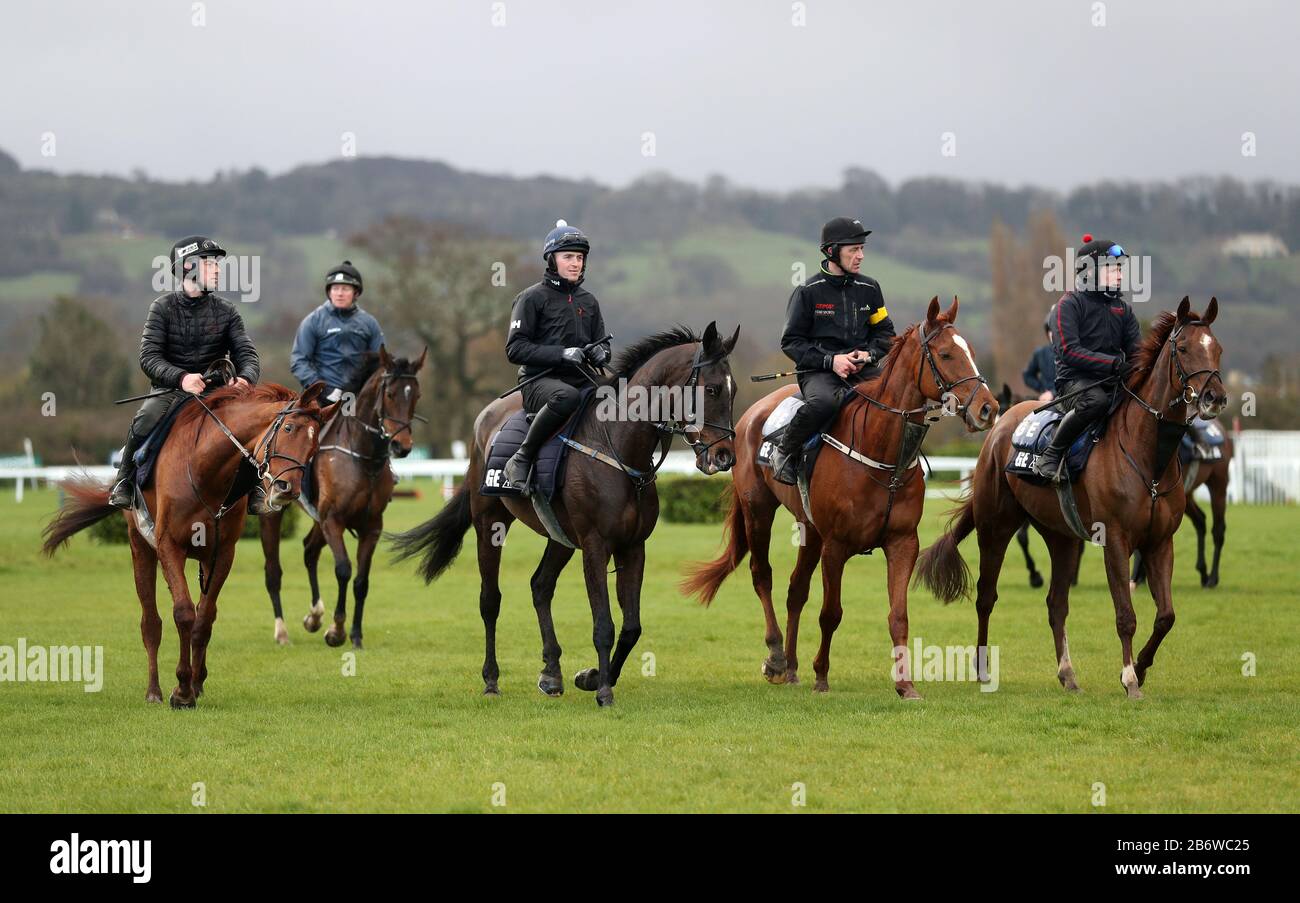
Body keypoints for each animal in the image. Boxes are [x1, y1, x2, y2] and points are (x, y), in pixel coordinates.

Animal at [42, 381, 337, 707]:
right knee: (150, 622)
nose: (287, 490)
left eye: (314, 447)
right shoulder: (169, 546)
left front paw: (195, 684)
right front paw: (181, 690)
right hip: (140, 546)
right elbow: (183, 613)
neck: (206, 470)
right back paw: (154, 691)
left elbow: (204, 618)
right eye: (287, 428)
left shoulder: (222, 553)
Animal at [260, 345, 426, 648]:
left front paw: (355, 634)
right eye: (390, 394)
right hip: (275, 513)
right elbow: (344, 570)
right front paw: (336, 630)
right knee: (273, 571)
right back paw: (282, 631)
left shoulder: (371, 527)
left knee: (309, 550)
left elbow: (361, 581)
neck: (362, 456)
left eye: (416, 395)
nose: (402, 446)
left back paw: (314, 616)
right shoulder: (333, 520)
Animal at [390, 322, 741, 706]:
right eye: (711, 388)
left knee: (540, 586)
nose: (725, 456)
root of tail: (486, 417)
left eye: (733, 389)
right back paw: (492, 679)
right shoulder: (595, 544)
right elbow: (604, 623)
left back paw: (551, 673)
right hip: (490, 523)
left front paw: (594, 676)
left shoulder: (633, 546)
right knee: (490, 600)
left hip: (559, 537)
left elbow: (631, 626)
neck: (618, 447)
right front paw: (603, 690)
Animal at [681, 297, 997, 699]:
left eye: (969, 350)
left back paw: (792, 667)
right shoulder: (836, 545)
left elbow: (898, 614)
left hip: (809, 529)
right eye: (945, 354)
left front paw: (905, 684)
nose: (988, 408)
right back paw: (776, 659)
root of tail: (753, 414)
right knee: (762, 576)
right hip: (759, 510)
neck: (882, 454)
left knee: (795, 590)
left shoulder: (902, 542)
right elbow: (831, 613)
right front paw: (821, 676)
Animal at [1132, 433, 1232, 589]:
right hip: (1186, 495)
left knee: (1218, 530)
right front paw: (1140, 576)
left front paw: (1139, 577)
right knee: (1200, 520)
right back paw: (1203, 572)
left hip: (1218, 485)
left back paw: (1212, 578)